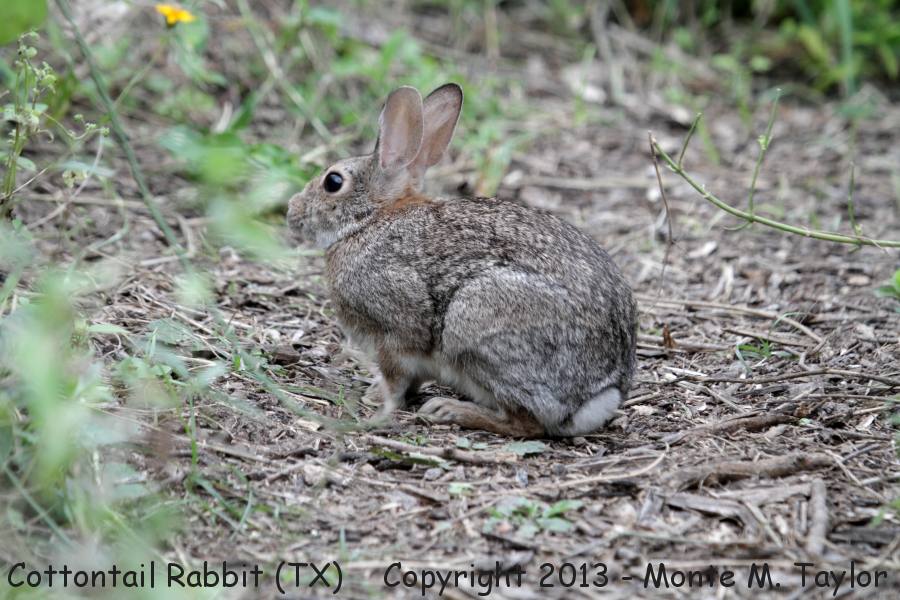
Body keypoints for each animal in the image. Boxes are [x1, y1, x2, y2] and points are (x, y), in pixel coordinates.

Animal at [287, 83, 637, 438]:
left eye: (333, 182)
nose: (292, 210)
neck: (369, 220)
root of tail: (597, 395)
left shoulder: (395, 327)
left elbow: (396, 374)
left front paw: (380, 399)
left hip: (473, 320)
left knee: (526, 423)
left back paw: (450, 410)